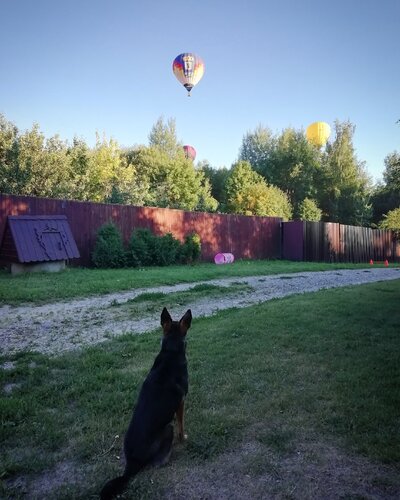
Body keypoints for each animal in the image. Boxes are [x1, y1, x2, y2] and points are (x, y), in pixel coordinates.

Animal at [101, 306, 193, 498]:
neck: (170, 352)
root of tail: (131, 465)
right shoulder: (181, 403)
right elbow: (181, 425)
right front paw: (184, 439)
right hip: (167, 429)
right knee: (159, 461)